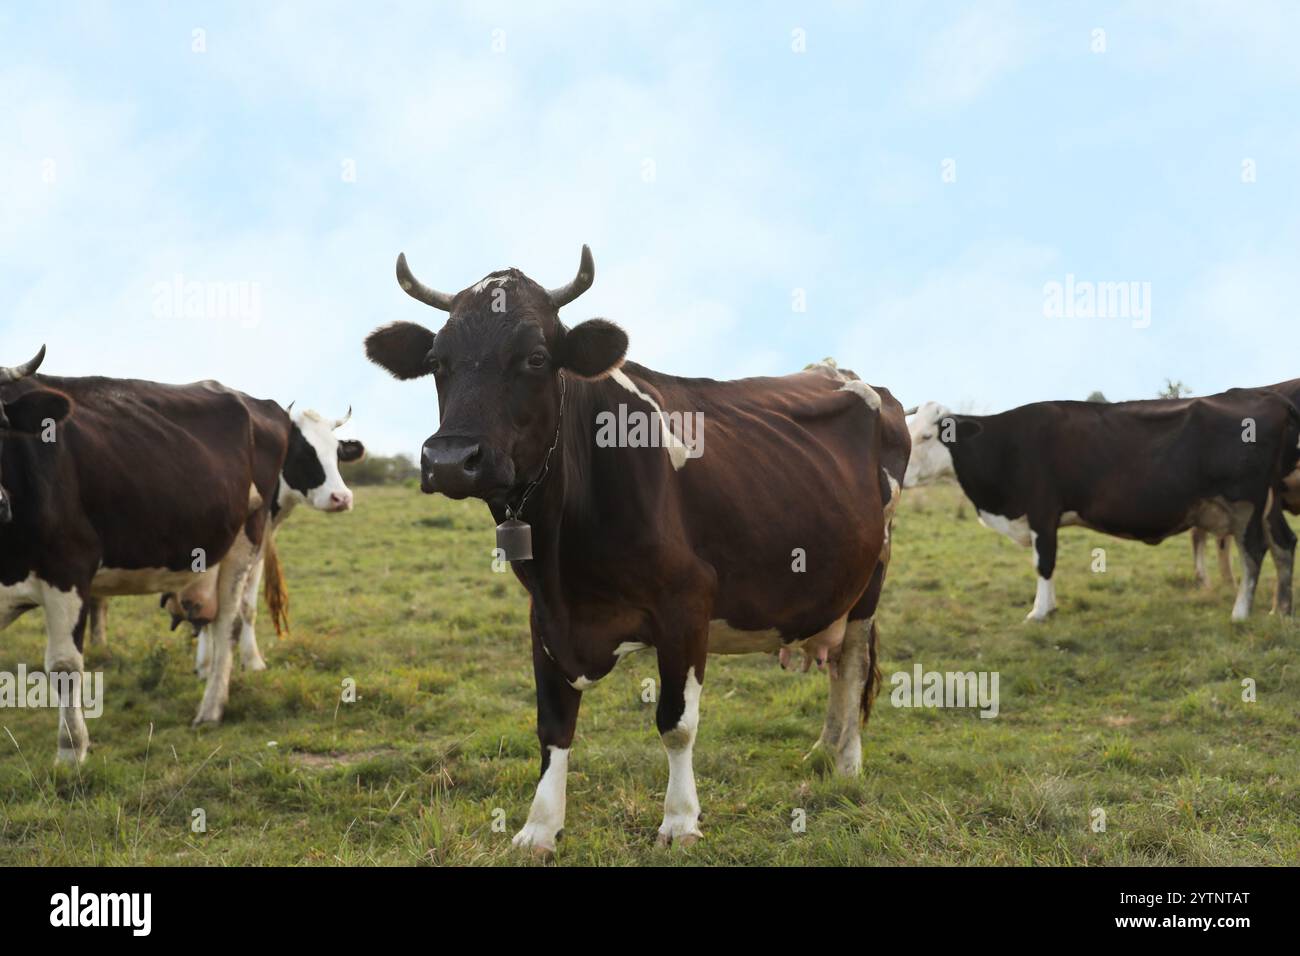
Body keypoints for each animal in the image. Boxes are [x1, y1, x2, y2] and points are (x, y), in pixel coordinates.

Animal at [85, 407, 364, 678]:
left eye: (337, 452)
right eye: (302, 453)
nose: (342, 497)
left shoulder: (256, 555)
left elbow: (246, 608)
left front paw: (252, 662)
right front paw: (206, 665)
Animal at [365, 246, 909, 853]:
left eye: (535, 357)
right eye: (438, 361)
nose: (450, 460)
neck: (564, 559)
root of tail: (840, 372)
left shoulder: (687, 603)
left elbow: (676, 723)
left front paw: (680, 820)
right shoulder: (544, 616)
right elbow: (552, 725)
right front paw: (539, 826)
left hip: (870, 578)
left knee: (852, 668)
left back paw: (847, 765)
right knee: (836, 667)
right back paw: (821, 752)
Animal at [903, 392, 1300, 623]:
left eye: (927, 435)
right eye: (908, 431)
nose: (899, 475)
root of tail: (1266, 398)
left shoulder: (1042, 511)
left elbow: (1043, 563)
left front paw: (1039, 611)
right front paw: (1050, 606)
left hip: (1244, 503)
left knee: (1254, 551)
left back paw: (1240, 613)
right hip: (1265, 504)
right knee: (1283, 544)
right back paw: (1279, 609)